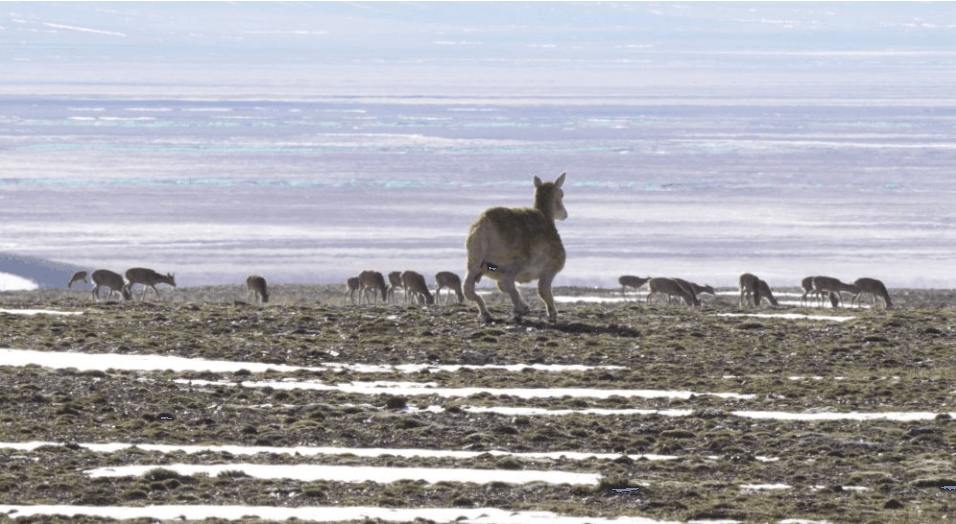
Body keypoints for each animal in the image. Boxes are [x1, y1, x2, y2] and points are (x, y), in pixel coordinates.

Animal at [463, 172, 567, 324]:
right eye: (561, 194)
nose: (565, 214)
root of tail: (484, 224)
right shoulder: (549, 270)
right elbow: (543, 290)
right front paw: (552, 314)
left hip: (474, 262)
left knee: (468, 289)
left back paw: (486, 313)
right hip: (515, 262)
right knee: (507, 281)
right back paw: (520, 309)